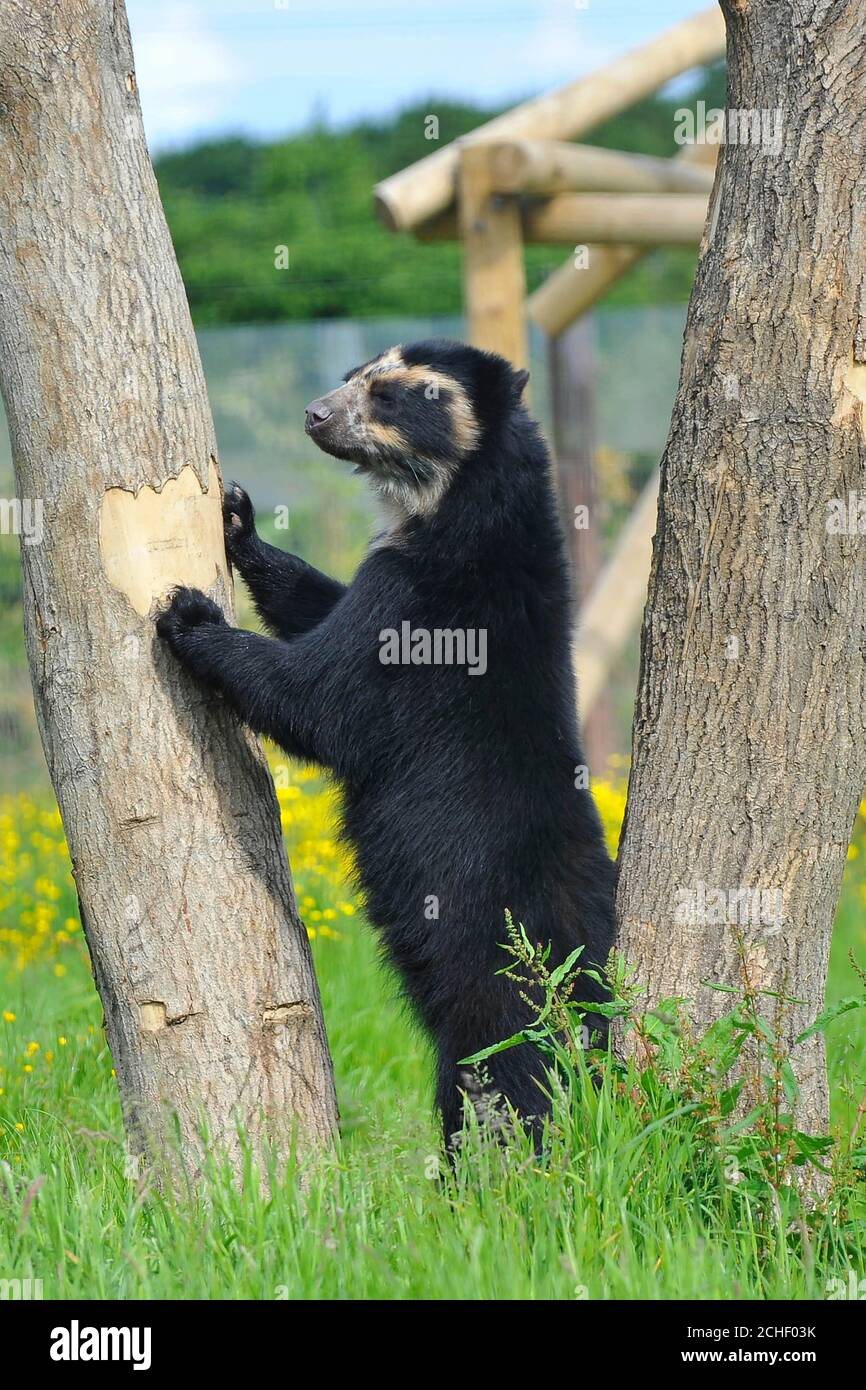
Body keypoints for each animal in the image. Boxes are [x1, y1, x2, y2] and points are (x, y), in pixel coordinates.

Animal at [156, 339, 616, 1150]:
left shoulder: (416, 611)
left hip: (497, 983)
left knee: (505, 1083)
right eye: (356, 373)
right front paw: (238, 520)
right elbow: (319, 605)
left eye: (396, 394)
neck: (454, 516)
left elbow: (317, 699)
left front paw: (189, 615)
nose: (315, 413)